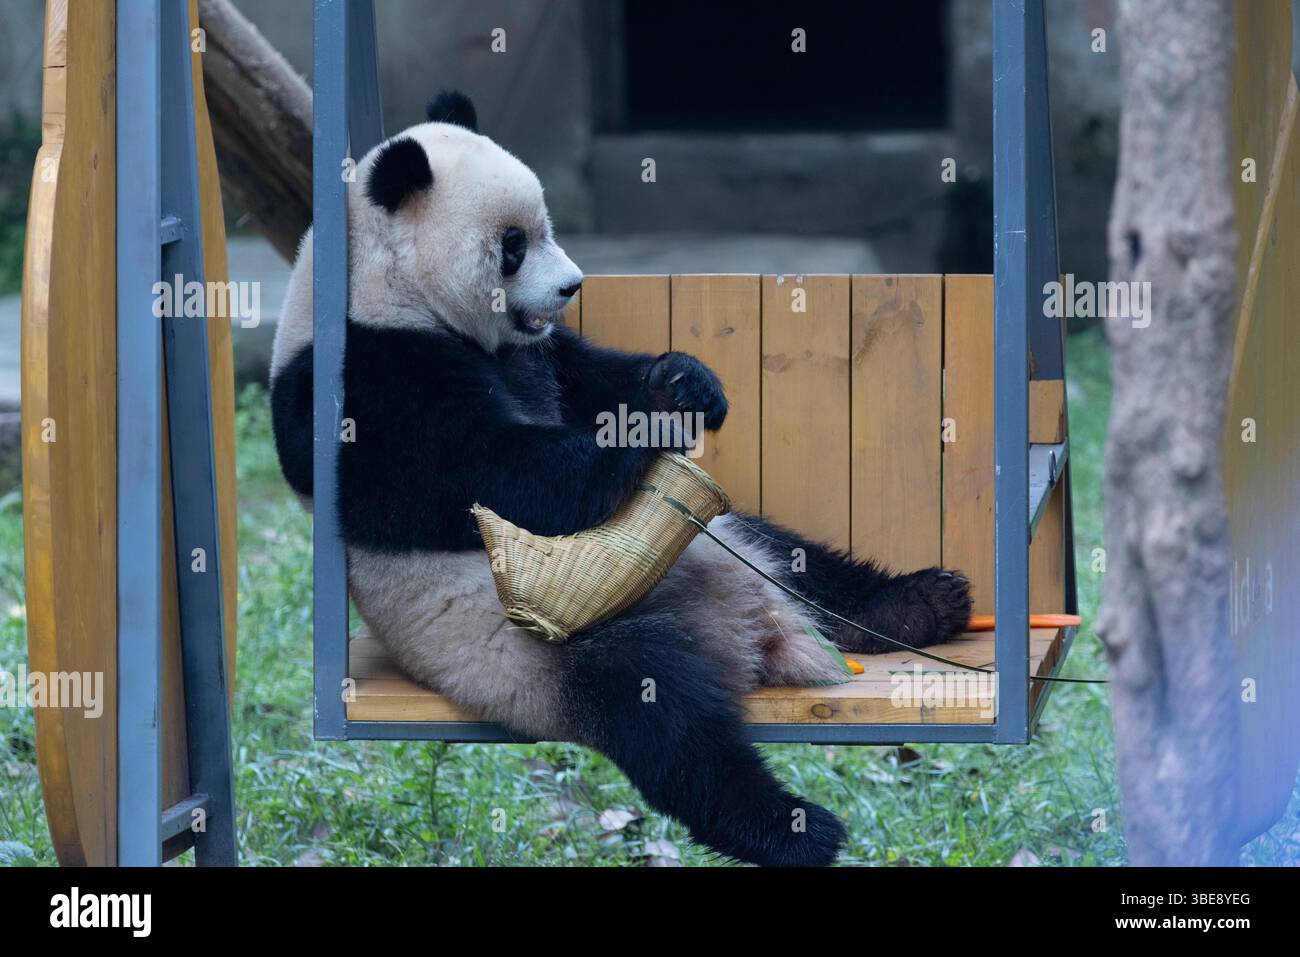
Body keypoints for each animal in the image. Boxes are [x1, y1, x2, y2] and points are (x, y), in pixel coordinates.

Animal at [269, 90, 973, 867]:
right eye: (513, 244)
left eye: (545, 226)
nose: (573, 285)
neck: (385, 287)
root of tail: (752, 631)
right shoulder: (368, 381)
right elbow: (496, 475)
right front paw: (645, 438)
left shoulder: (535, 352)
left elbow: (591, 376)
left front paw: (685, 386)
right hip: (537, 655)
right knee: (661, 713)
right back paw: (789, 826)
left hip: (737, 539)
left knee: (807, 563)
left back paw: (917, 605)